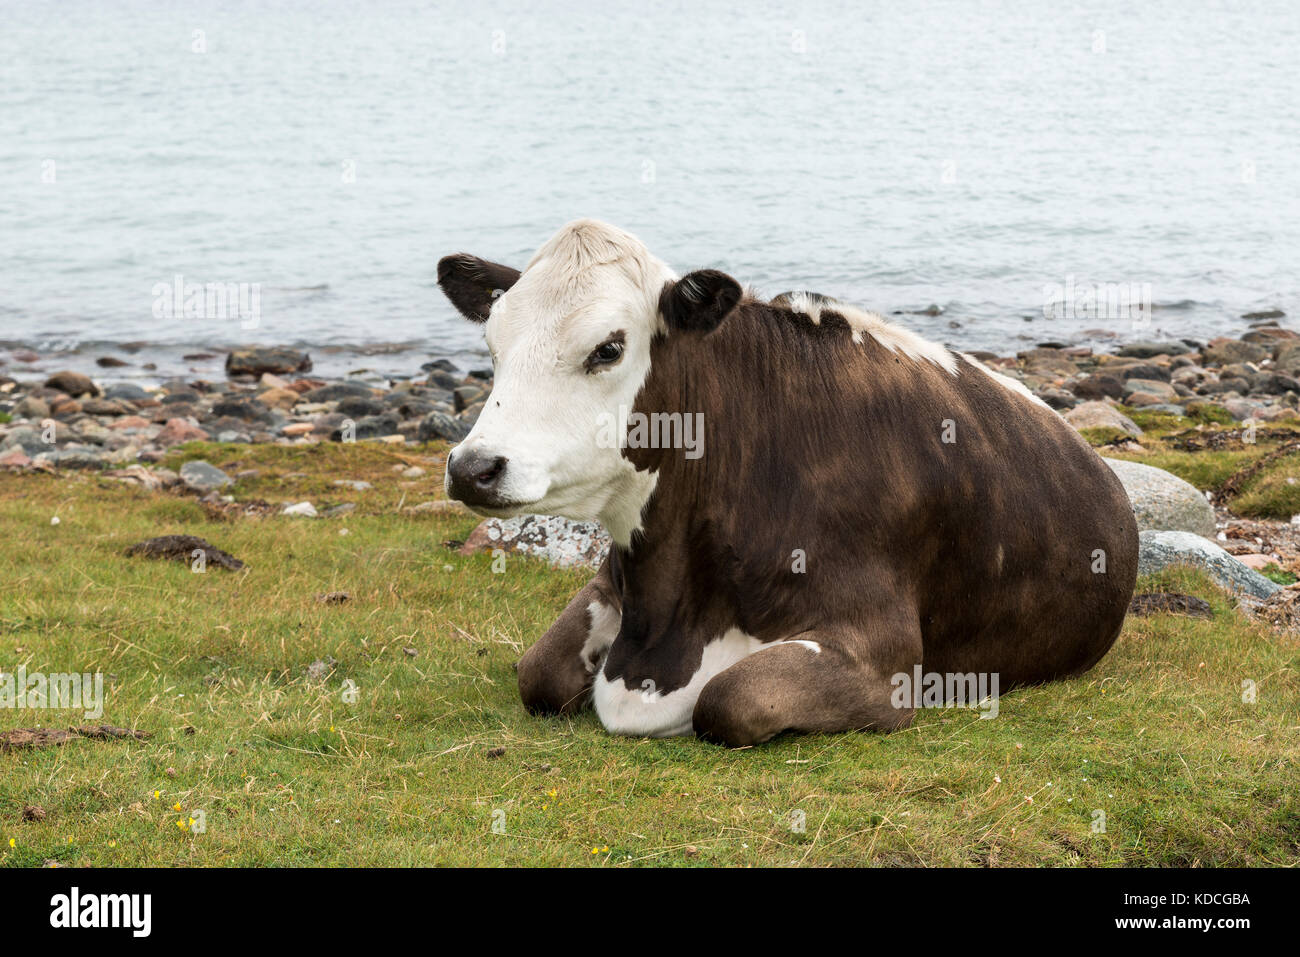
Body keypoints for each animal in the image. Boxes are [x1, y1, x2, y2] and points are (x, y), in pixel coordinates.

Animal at [437, 219, 1138, 746]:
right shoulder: (612, 584)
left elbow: (731, 698)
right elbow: (537, 674)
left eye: (608, 348)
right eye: (493, 346)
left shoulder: (883, 654)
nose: (473, 467)